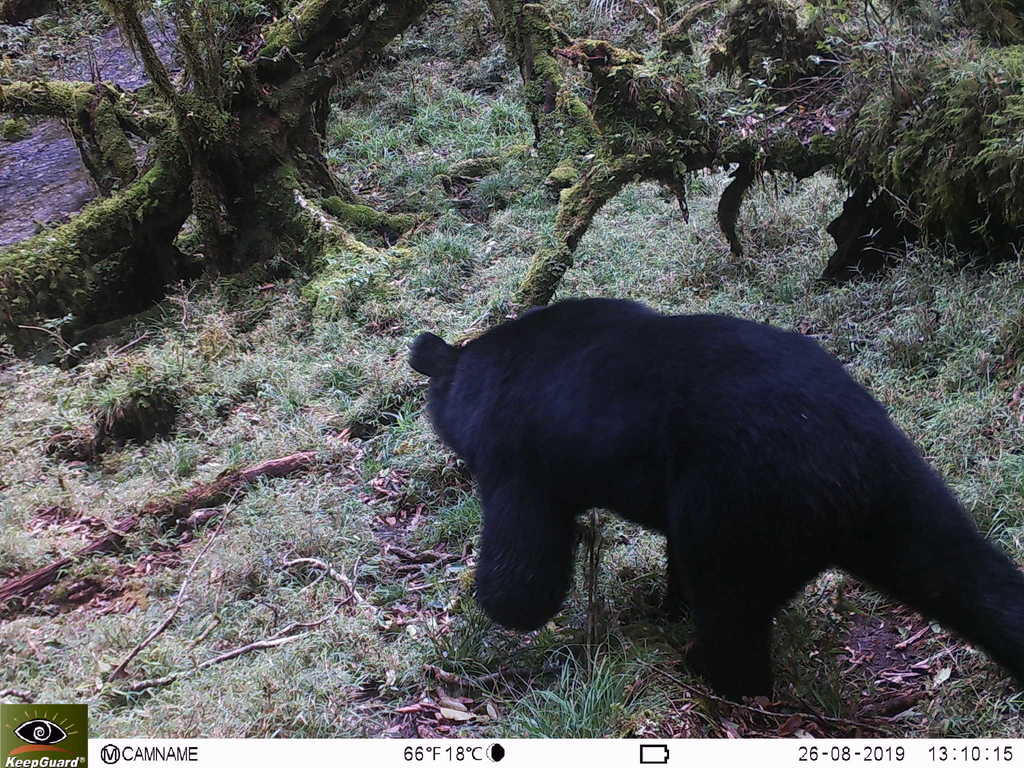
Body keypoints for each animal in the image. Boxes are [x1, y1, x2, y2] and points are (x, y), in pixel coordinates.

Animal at [408, 297, 1024, 699]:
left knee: (730, 605)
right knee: (963, 574)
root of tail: (854, 468)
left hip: (740, 503)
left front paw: (498, 606)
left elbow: (523, 567)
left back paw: (707, 670)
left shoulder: (519, 456)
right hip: (905, 499)